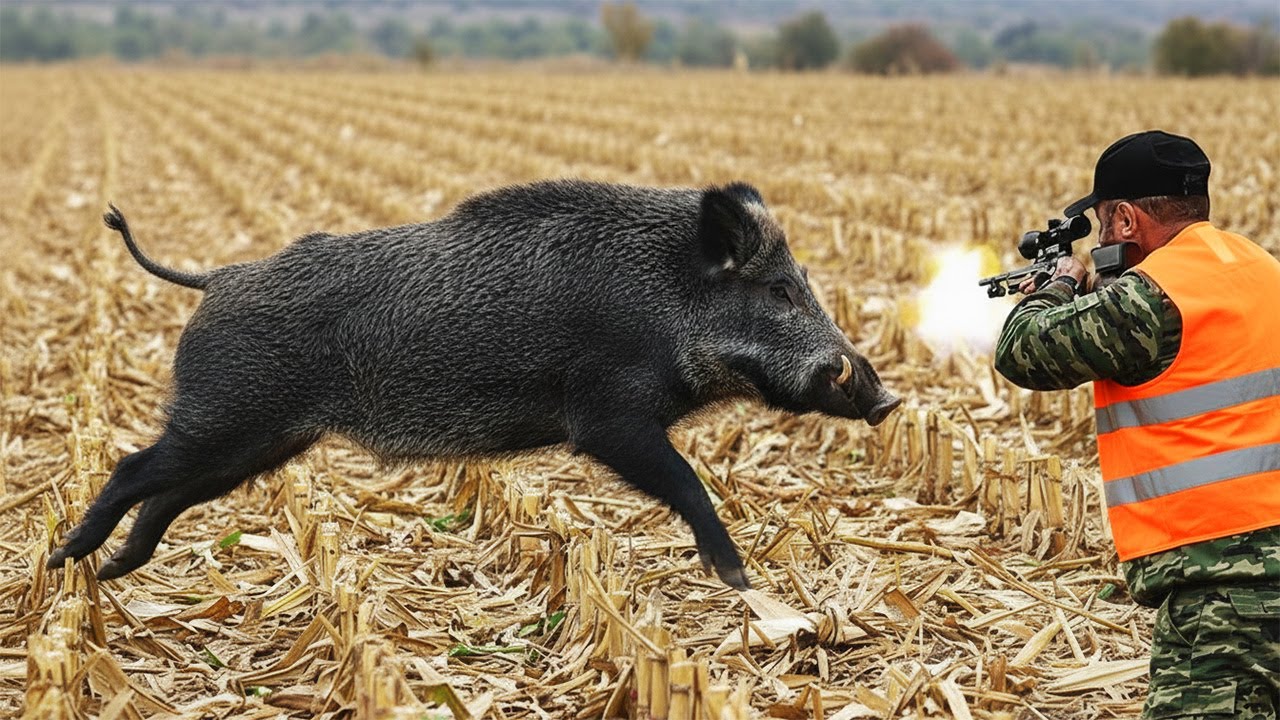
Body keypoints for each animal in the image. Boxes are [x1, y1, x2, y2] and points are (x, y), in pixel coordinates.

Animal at [47, 180, 900, 589]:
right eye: (780, 291)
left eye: (804, 283)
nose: (886, 397)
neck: (667, 302)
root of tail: (217, 278)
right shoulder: (606, 416)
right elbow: (687, 483)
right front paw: (739, 579)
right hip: (226, 413)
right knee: (133, 467)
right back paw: (65, 561)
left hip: (260, 439)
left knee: (167, 494)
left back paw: (110, 570)